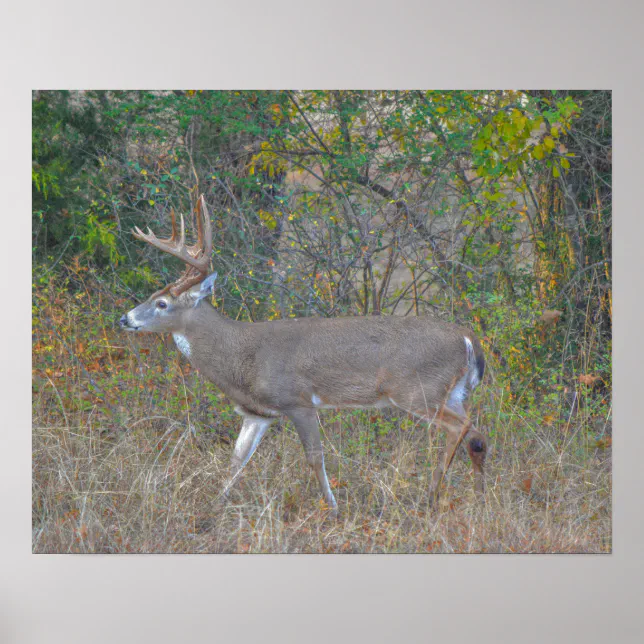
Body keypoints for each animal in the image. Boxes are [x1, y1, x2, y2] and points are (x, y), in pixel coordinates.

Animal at [120, 195, 487, 517]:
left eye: (162, 304)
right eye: (151, 295)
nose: (125, 318)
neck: (243, 356)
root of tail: (468, 338)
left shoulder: (298, 400)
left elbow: (314, 458)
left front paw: (333, 509)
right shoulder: (258, 413)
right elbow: (237, 460)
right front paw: (213, 507)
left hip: (416, 389)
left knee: (461, 427)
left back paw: (431, 497)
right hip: (452, 392)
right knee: (476, 436)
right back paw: (477, 497)